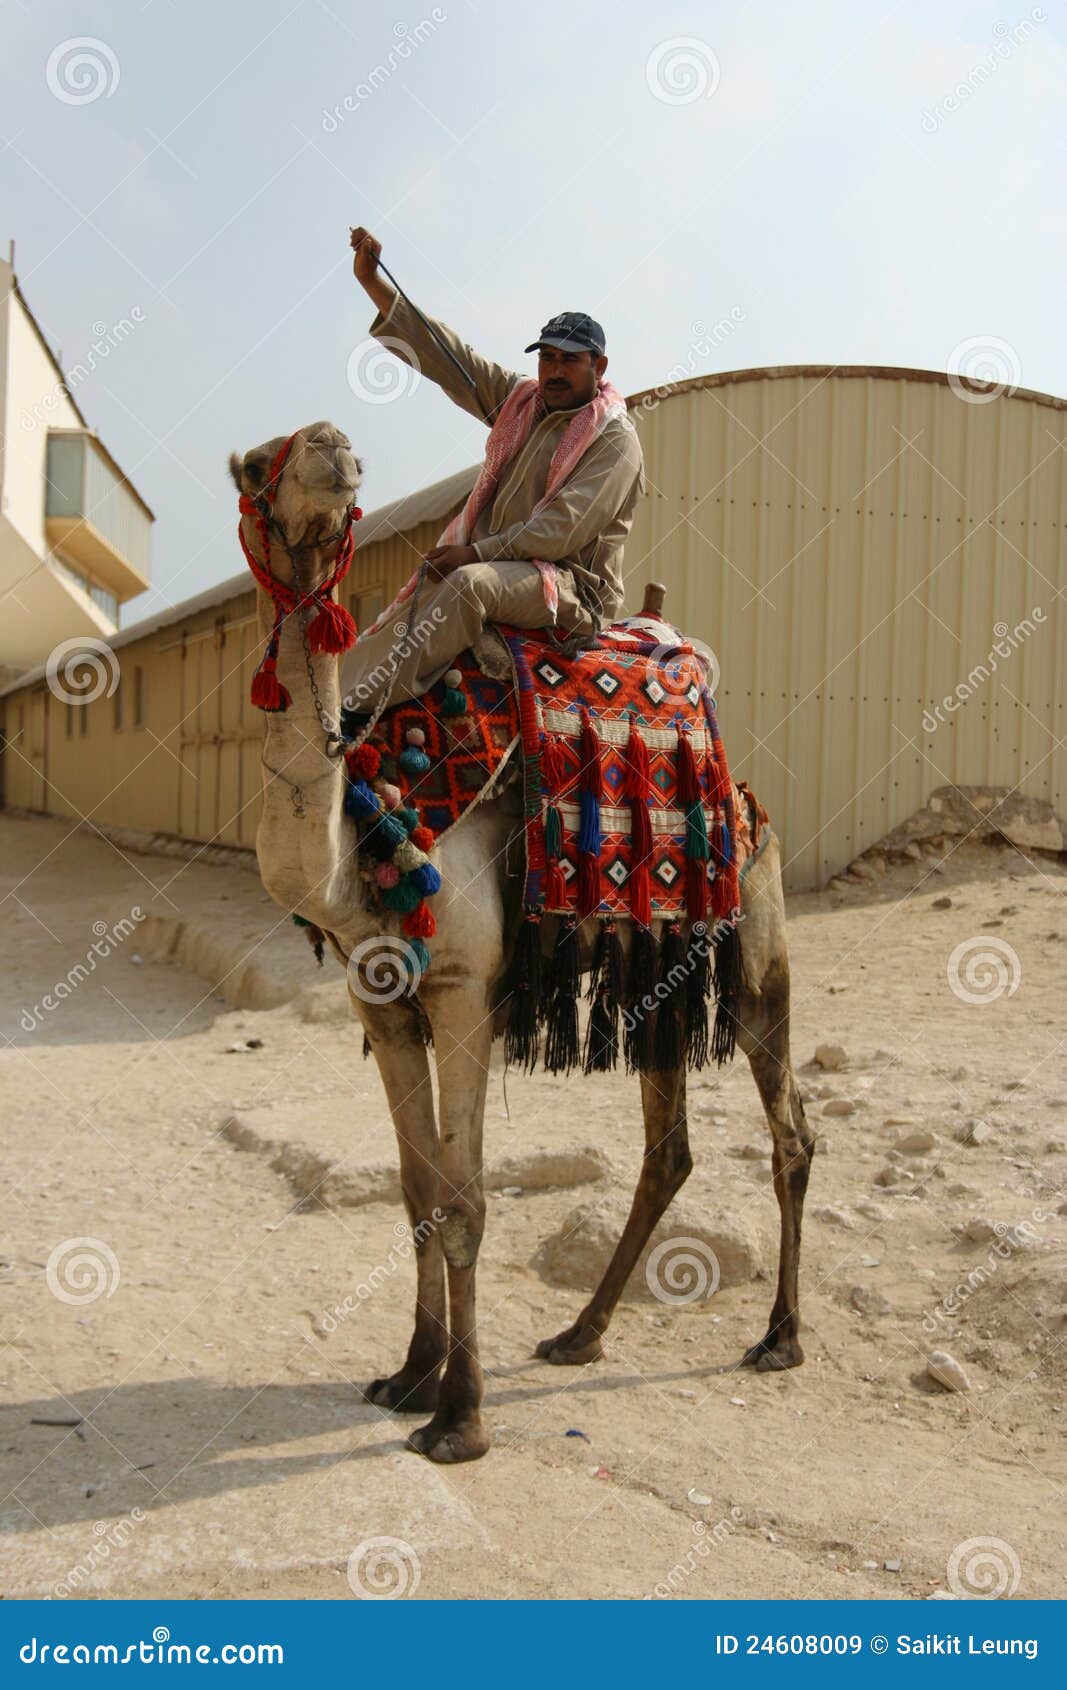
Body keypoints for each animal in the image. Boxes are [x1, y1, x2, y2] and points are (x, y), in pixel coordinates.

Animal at [229, 420, 815, 1465]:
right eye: (256, 466)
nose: (332, 447)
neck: (354, 847)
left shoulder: (464, 987)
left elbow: (463, 1202)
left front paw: (459, 1418)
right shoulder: (381, 999)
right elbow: (416, 1192)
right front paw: (407, 1376)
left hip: (757, 942)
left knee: (790, 1130)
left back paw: (779, 1339)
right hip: (655, 974)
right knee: (668, 1151)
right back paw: (579, 1334)